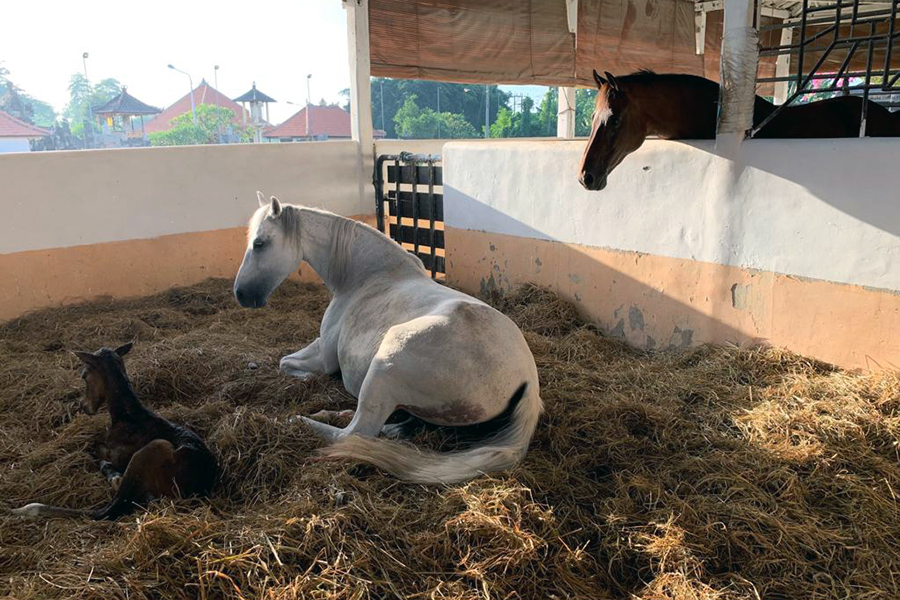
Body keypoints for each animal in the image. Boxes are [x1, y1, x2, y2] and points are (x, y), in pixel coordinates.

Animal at [12, 343, 217, 519]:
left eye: (84, 375)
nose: (84, 406)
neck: (127, 415)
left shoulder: (115, 454)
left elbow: (94, 449)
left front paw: (112, 472)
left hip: (153, 448)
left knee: (112, 505)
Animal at [233, 192, 542, 484]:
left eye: (259, 243)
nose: (241, 294)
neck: (364, 277)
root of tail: (527, 379)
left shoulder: (324, 357)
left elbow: (286, 362)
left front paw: (307, 380)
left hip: (385, 366)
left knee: (355, 433)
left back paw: (299, 421)